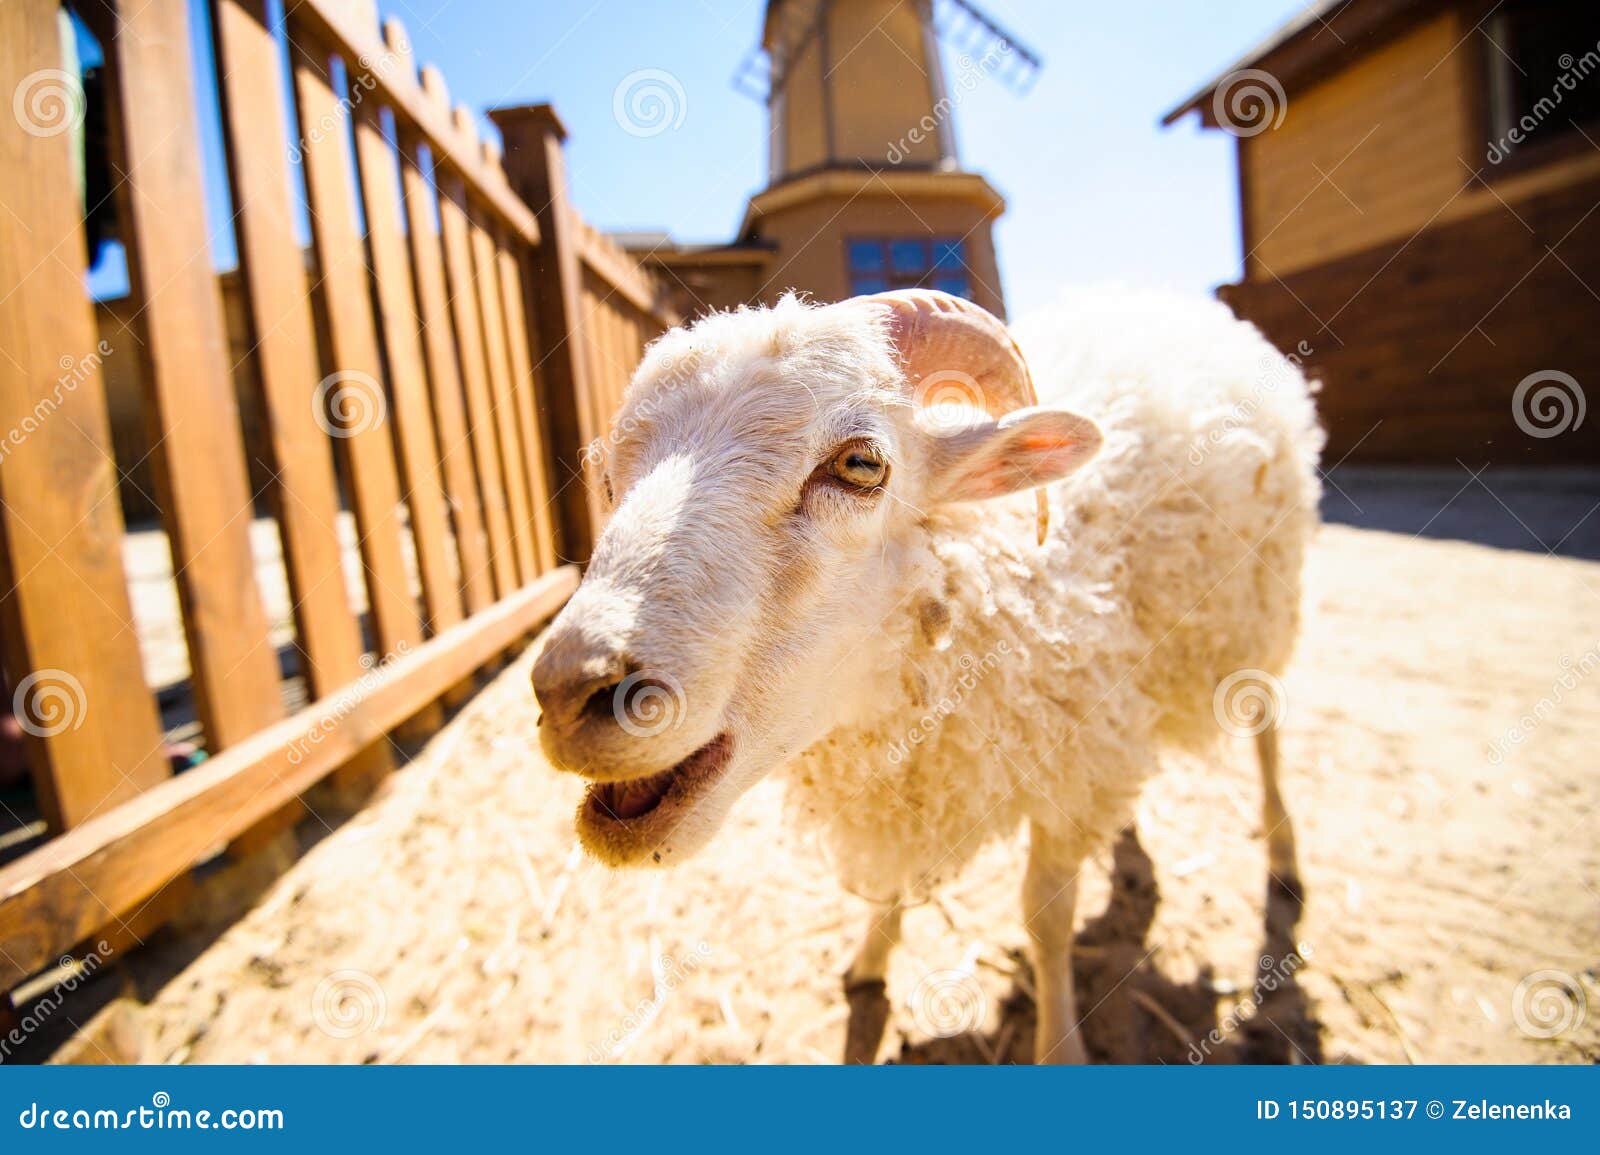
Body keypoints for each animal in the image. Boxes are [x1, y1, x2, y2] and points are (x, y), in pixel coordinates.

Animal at [532, 287, 1323, 1064]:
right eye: (608, 477)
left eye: (861, 466)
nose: (568, 692)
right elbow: (890, 888)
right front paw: (870, 957)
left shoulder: (1066, 761)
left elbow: (1047, 919)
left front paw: (1059, 1044)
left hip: (1261, 610)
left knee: (1265, 725)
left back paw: (1284, 851)